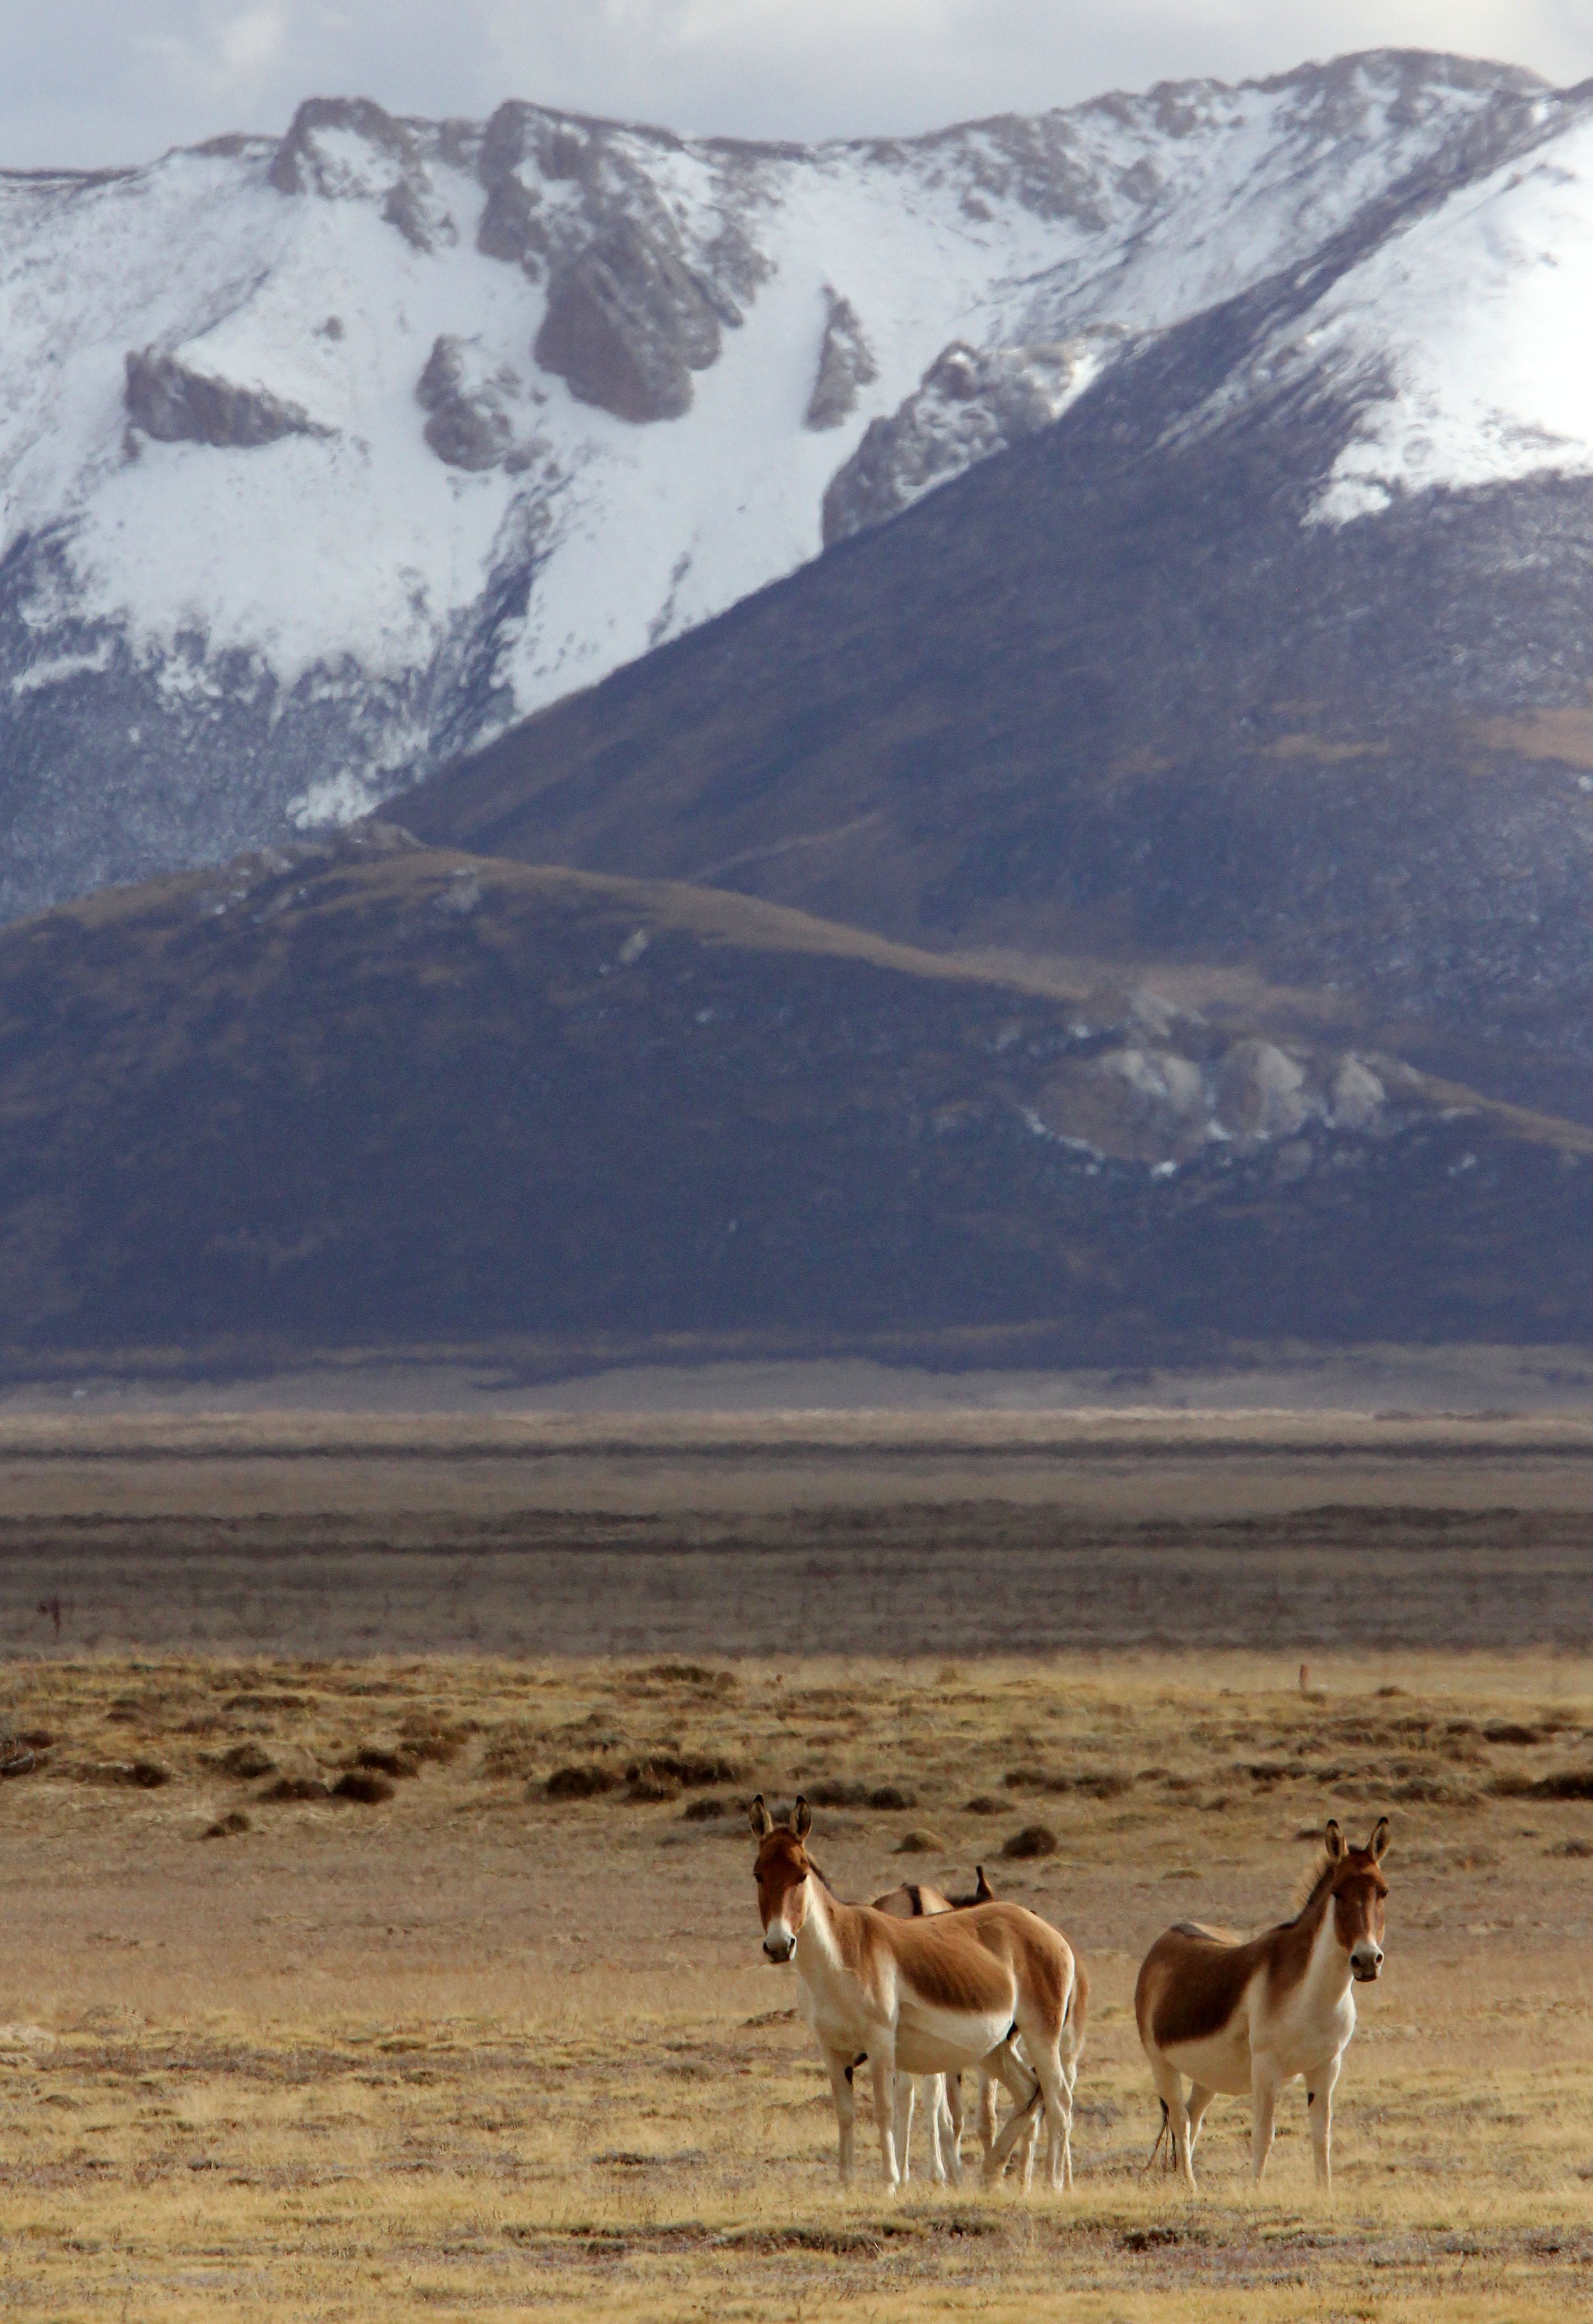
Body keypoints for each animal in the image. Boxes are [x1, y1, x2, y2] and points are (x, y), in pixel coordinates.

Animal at [750, 1795, 1080, 2189]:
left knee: (1059, 2100)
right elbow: (845, 2113)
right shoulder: (831, 2047)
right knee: (1030, 2092)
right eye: (758, 1873)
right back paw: (990, 2174)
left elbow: (885, 2109)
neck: (841, 1955)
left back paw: (1053, 2185)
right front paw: (846, 2185)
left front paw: (889, 2183)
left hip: (1042, 2034)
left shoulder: (879, 2043)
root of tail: (1045, 1929)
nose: (779, 1945)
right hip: (995, 2047)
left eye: (802, 1874)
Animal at [1135, 1816, 1390, 2192]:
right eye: (1337, 1892)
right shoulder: (1265, 2068)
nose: (1367, 1961)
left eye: (1383, 1892)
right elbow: (1264, 2136)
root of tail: (1164, 1940)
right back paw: (1191, 2188)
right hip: (1161, 2064)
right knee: (1180, 2120)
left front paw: (1324, 2193)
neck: (1312, 1995)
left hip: (1207, 2076)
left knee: (1193, 2117)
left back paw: (1185, 2184)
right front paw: (1254, 2191)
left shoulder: (1327, 2066)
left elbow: (1322, 2137)